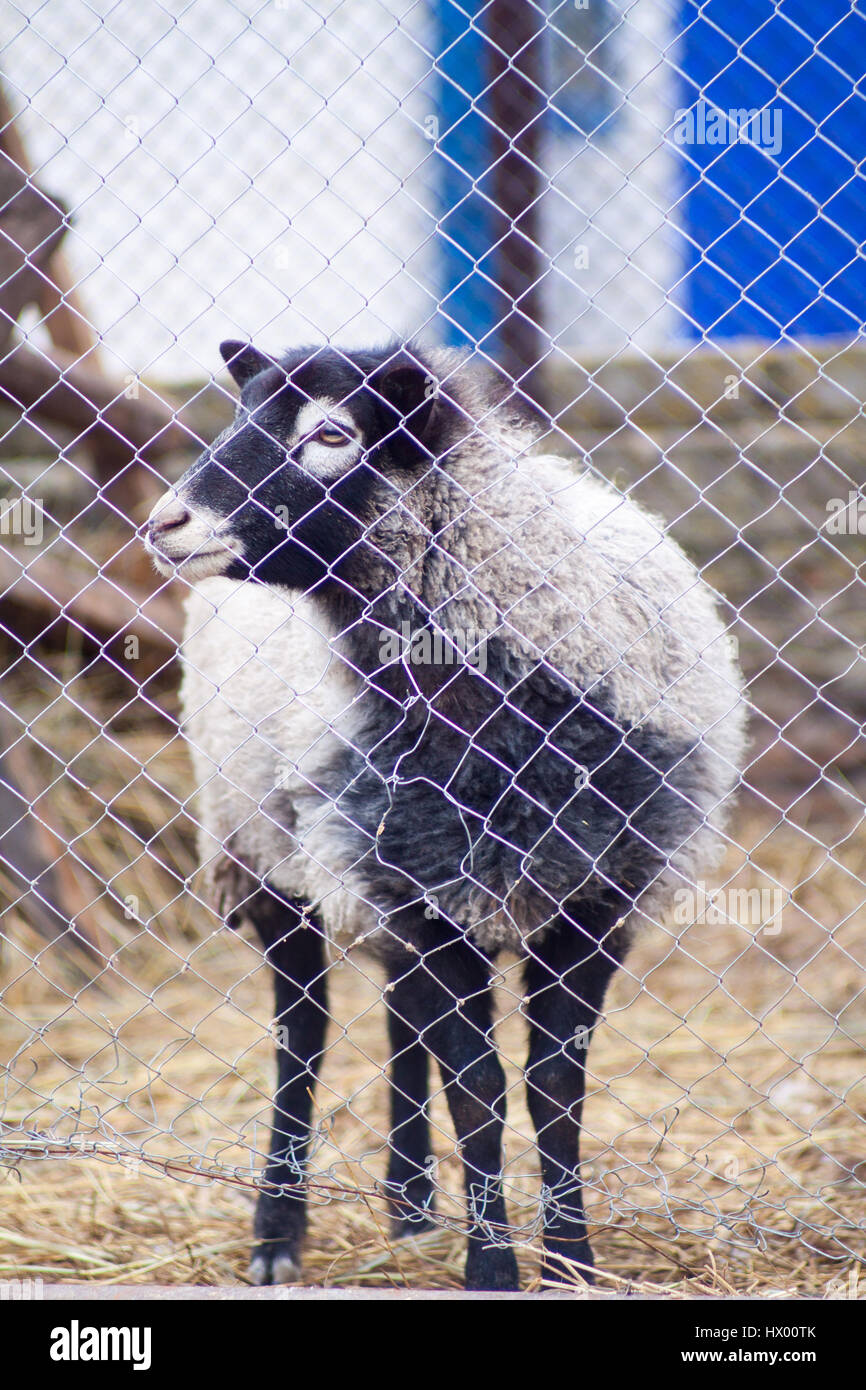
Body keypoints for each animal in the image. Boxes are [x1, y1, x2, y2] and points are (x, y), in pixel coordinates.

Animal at [145, 341, 746, 1291]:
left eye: (331, 433)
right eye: (238, 415)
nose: (167, 522)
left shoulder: (594, 899)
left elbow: (553, 1090)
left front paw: (571, 1264)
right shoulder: (420, 899)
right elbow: (479, 1093)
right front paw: (493, 1269)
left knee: (398, 1022)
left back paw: (410, 1200)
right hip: (267, 846)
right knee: (303, 1035)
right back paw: (278, 1232)